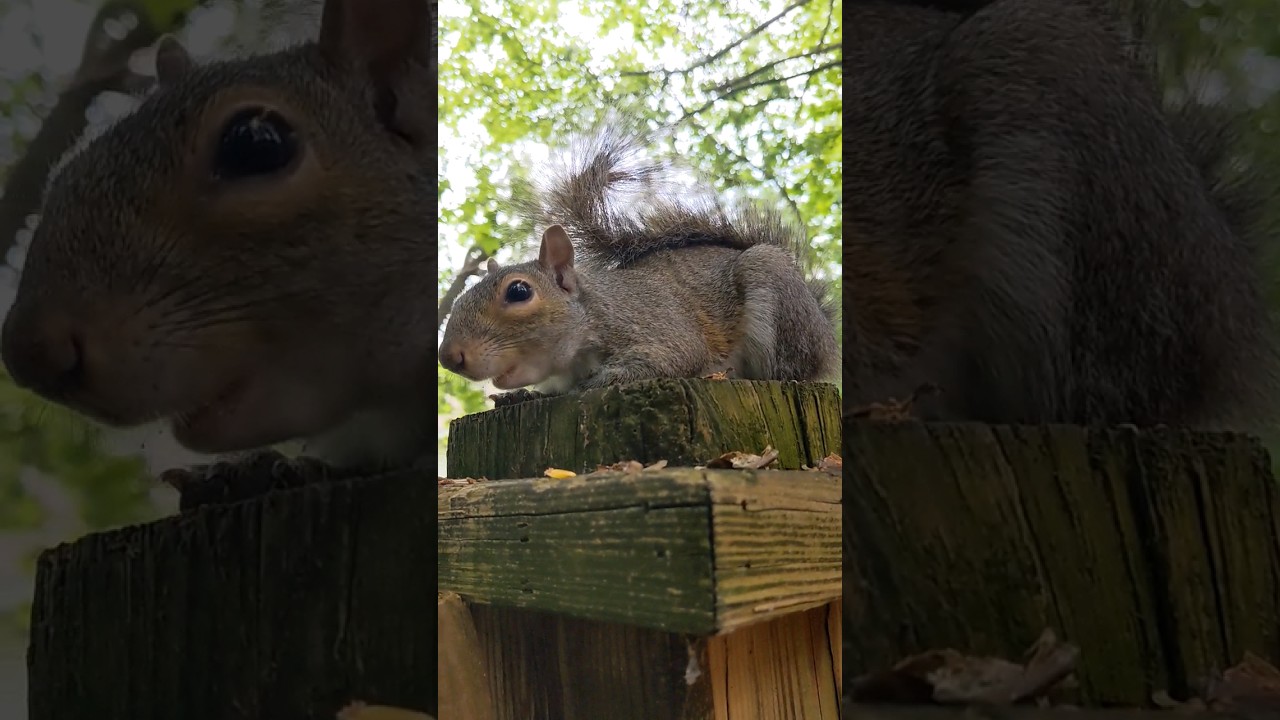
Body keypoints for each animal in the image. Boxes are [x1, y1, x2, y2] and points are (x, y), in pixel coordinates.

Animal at [437, 124, 840, 400]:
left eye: (519, 291)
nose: (449, 357)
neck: (595, 311)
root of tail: (825, 332)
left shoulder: (657, 329)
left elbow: (672, 358)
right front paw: (521, 396)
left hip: (771, 285)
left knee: (788, 371)